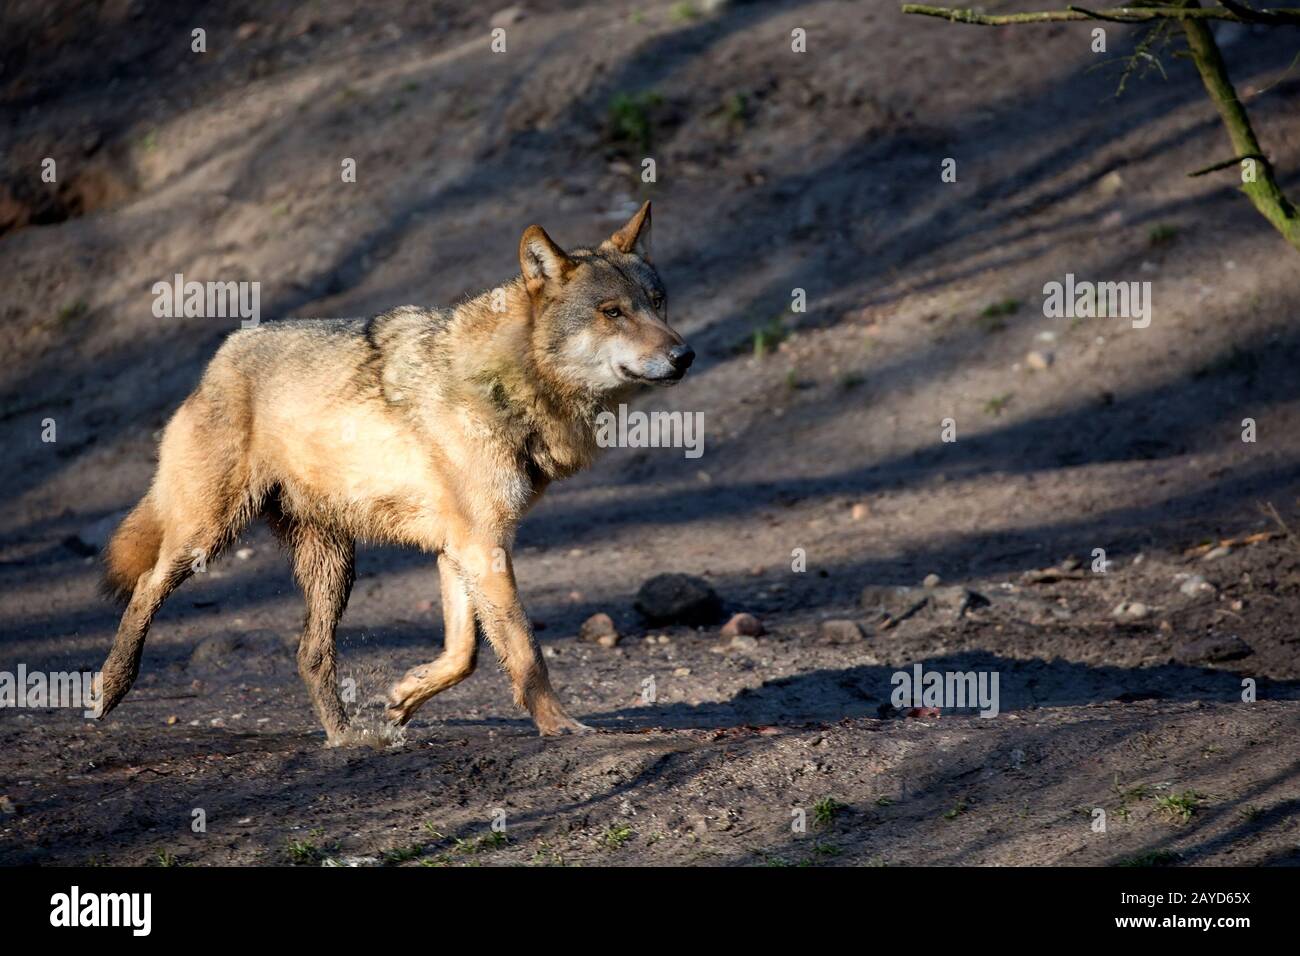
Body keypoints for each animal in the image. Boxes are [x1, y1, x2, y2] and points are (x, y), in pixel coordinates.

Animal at [95, 201, 692, 741]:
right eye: (612, 312)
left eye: (657, 303)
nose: (684, 355)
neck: (509, 385)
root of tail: (220, 356)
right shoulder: (482, 546)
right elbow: (525, 652)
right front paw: (560, 726)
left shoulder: (462, 548)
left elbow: (465, 654)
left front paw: (405, 698)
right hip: (207, 537)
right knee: (145, 586)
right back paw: (109, 688)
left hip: (334, 568)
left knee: (310, 653)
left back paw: (346, 740)